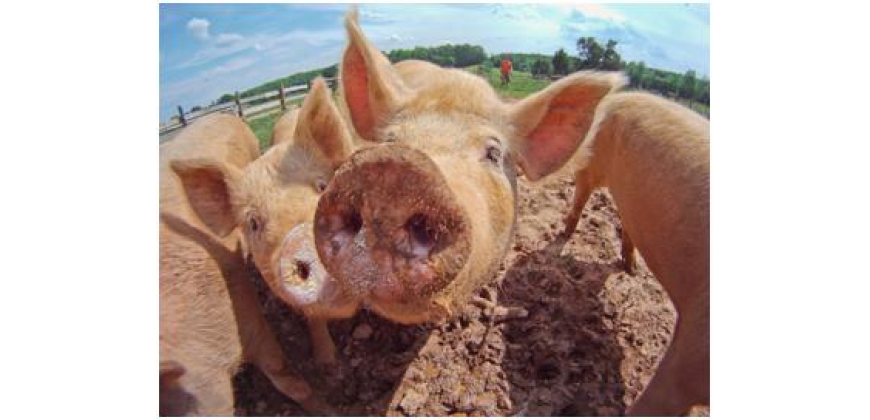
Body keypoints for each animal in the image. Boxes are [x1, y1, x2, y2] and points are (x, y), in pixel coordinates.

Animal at [558, 92, 710, 415]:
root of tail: (623, 93)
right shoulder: (695, 336)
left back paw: (631, 268)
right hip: (593, 155)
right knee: (582, 188)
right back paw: (564, 233)